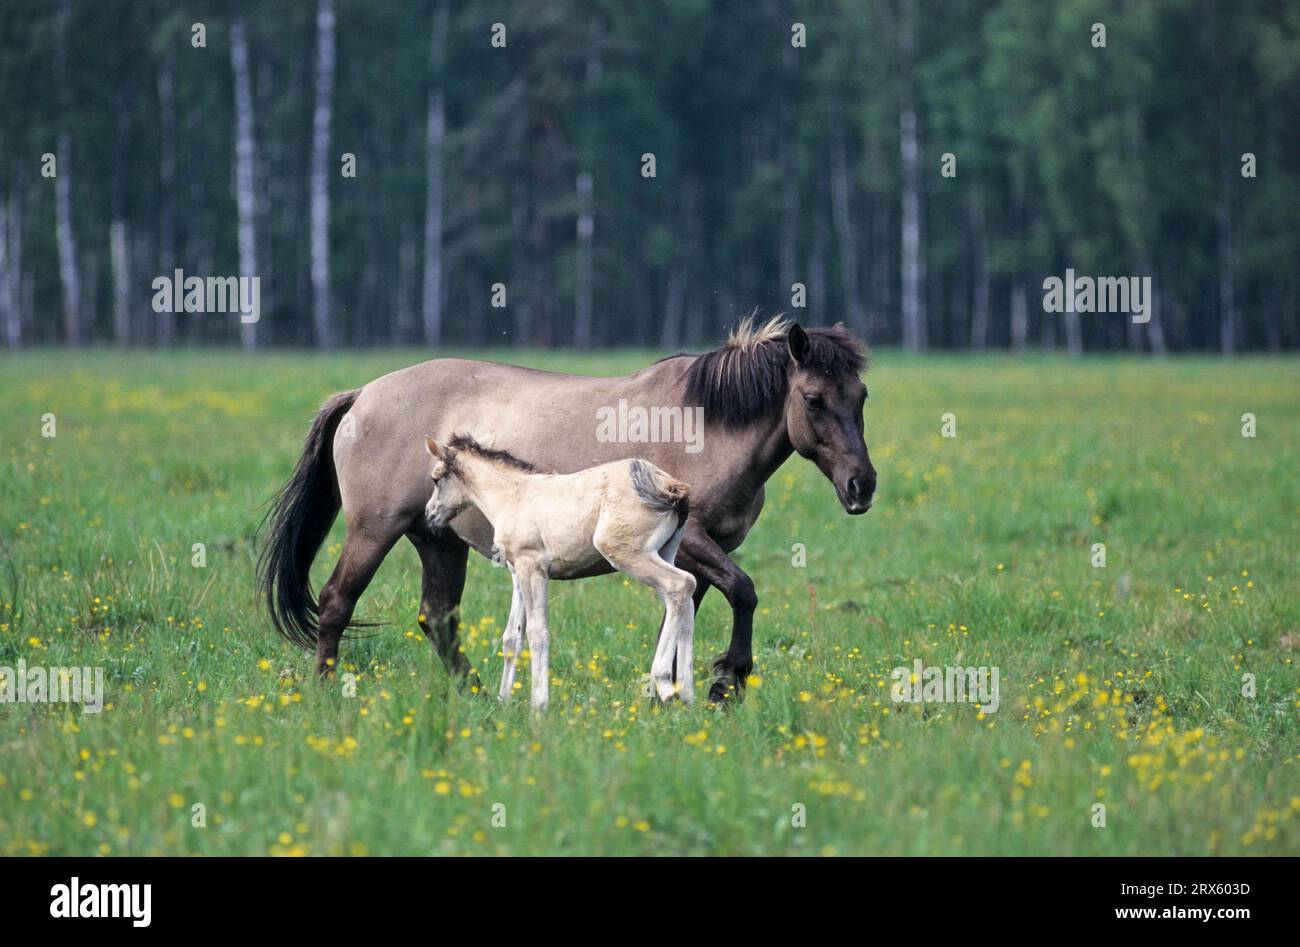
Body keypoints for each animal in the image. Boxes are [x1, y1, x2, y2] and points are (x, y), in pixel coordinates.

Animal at [422, 433, 696, 711]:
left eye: (436, 479)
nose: (429, 514)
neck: (512, 496)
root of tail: (666, 485)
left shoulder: (533, 567)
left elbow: (537, 632)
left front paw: (539, 705)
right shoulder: (517, 572)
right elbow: (512, 637)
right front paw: (503, 701)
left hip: (628, 554)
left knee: (681, 584)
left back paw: (665, 684)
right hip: (663, 553)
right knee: (687, 600)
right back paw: (687, 695)